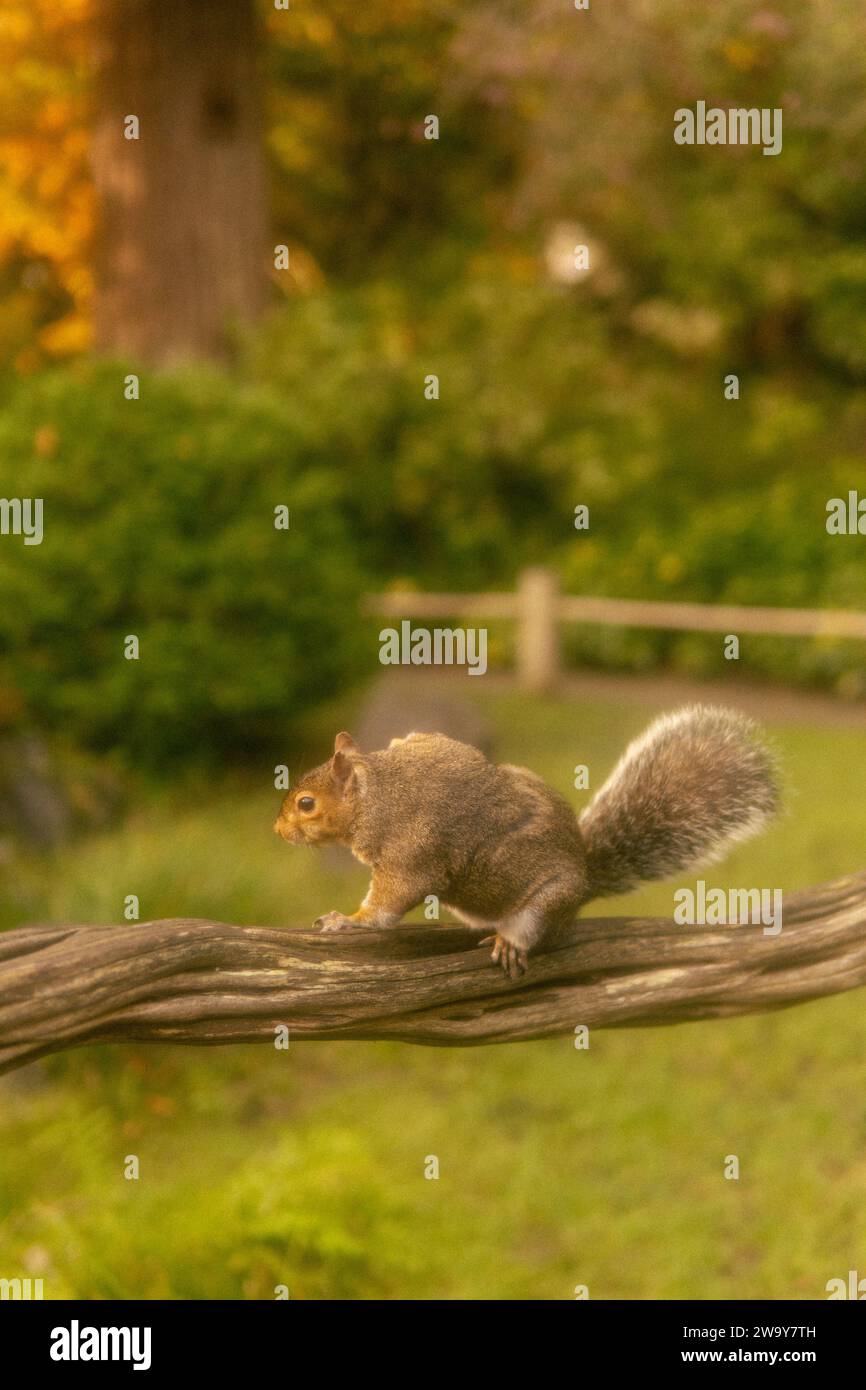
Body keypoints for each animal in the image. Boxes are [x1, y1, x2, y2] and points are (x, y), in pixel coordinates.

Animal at [273, 705, 779, 978]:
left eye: (306, 804)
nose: (277, 831)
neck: (379, 792)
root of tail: (584, 880)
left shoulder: (411, 853)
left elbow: (386, 905)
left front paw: (347, 920)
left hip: (547, 903)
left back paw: (510, 942)